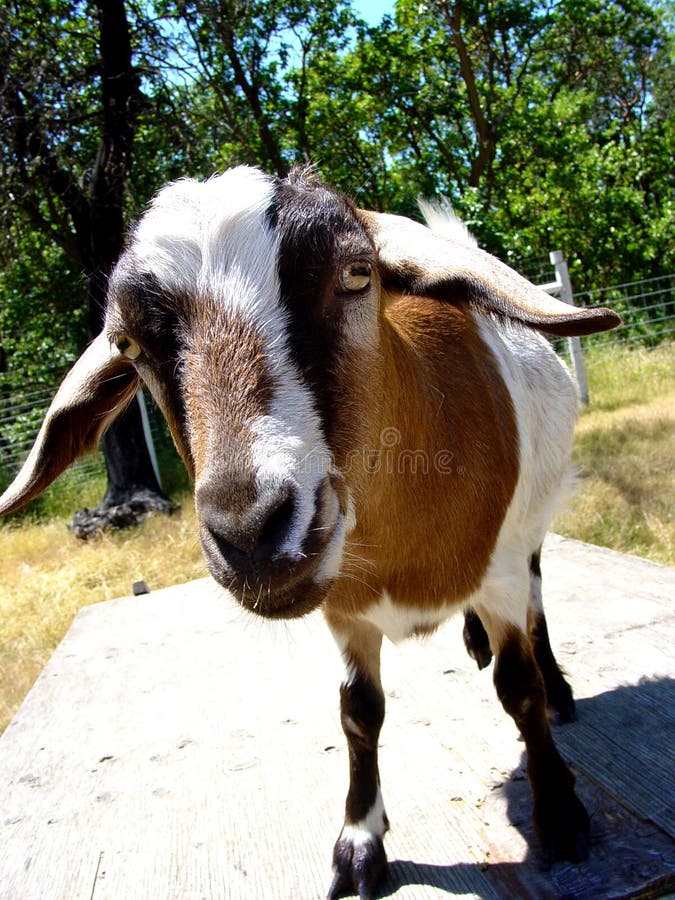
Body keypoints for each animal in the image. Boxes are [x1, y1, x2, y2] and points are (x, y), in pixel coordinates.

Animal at [0, 166, 620, 899]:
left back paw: (555, 686)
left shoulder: (496, 572)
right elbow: (359, 712)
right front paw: (359, 843)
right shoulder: (345, 612)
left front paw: (560, 813)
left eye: (356, 274)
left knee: (536, 590)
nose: (253, 536)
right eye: (128, 344)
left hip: (529, 528)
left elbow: (517, 690)